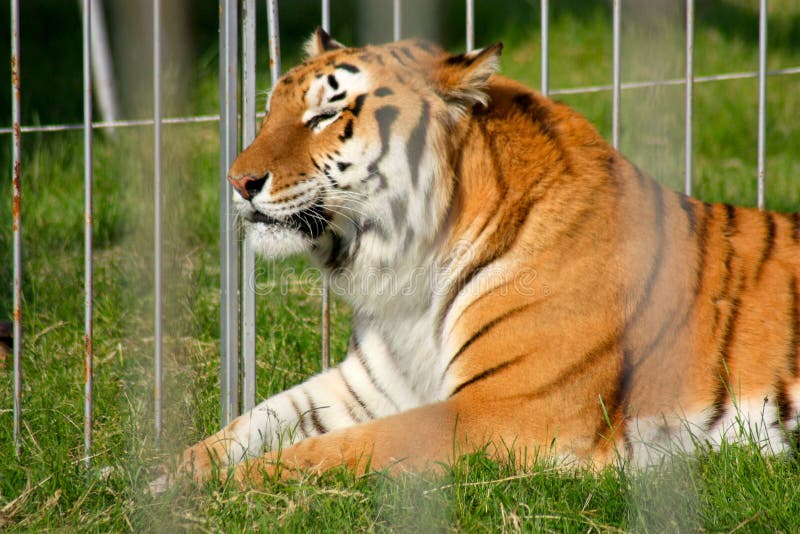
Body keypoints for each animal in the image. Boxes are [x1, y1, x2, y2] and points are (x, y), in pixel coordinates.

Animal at [159, 28, 800, 489]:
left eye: (324, 116)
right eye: (268, 113)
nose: (237, 182)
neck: (408, 279)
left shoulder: (505, 409)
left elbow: (331, 449)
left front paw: (222, 488)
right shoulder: (367, 388)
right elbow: (257, 420)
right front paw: (162, 477)